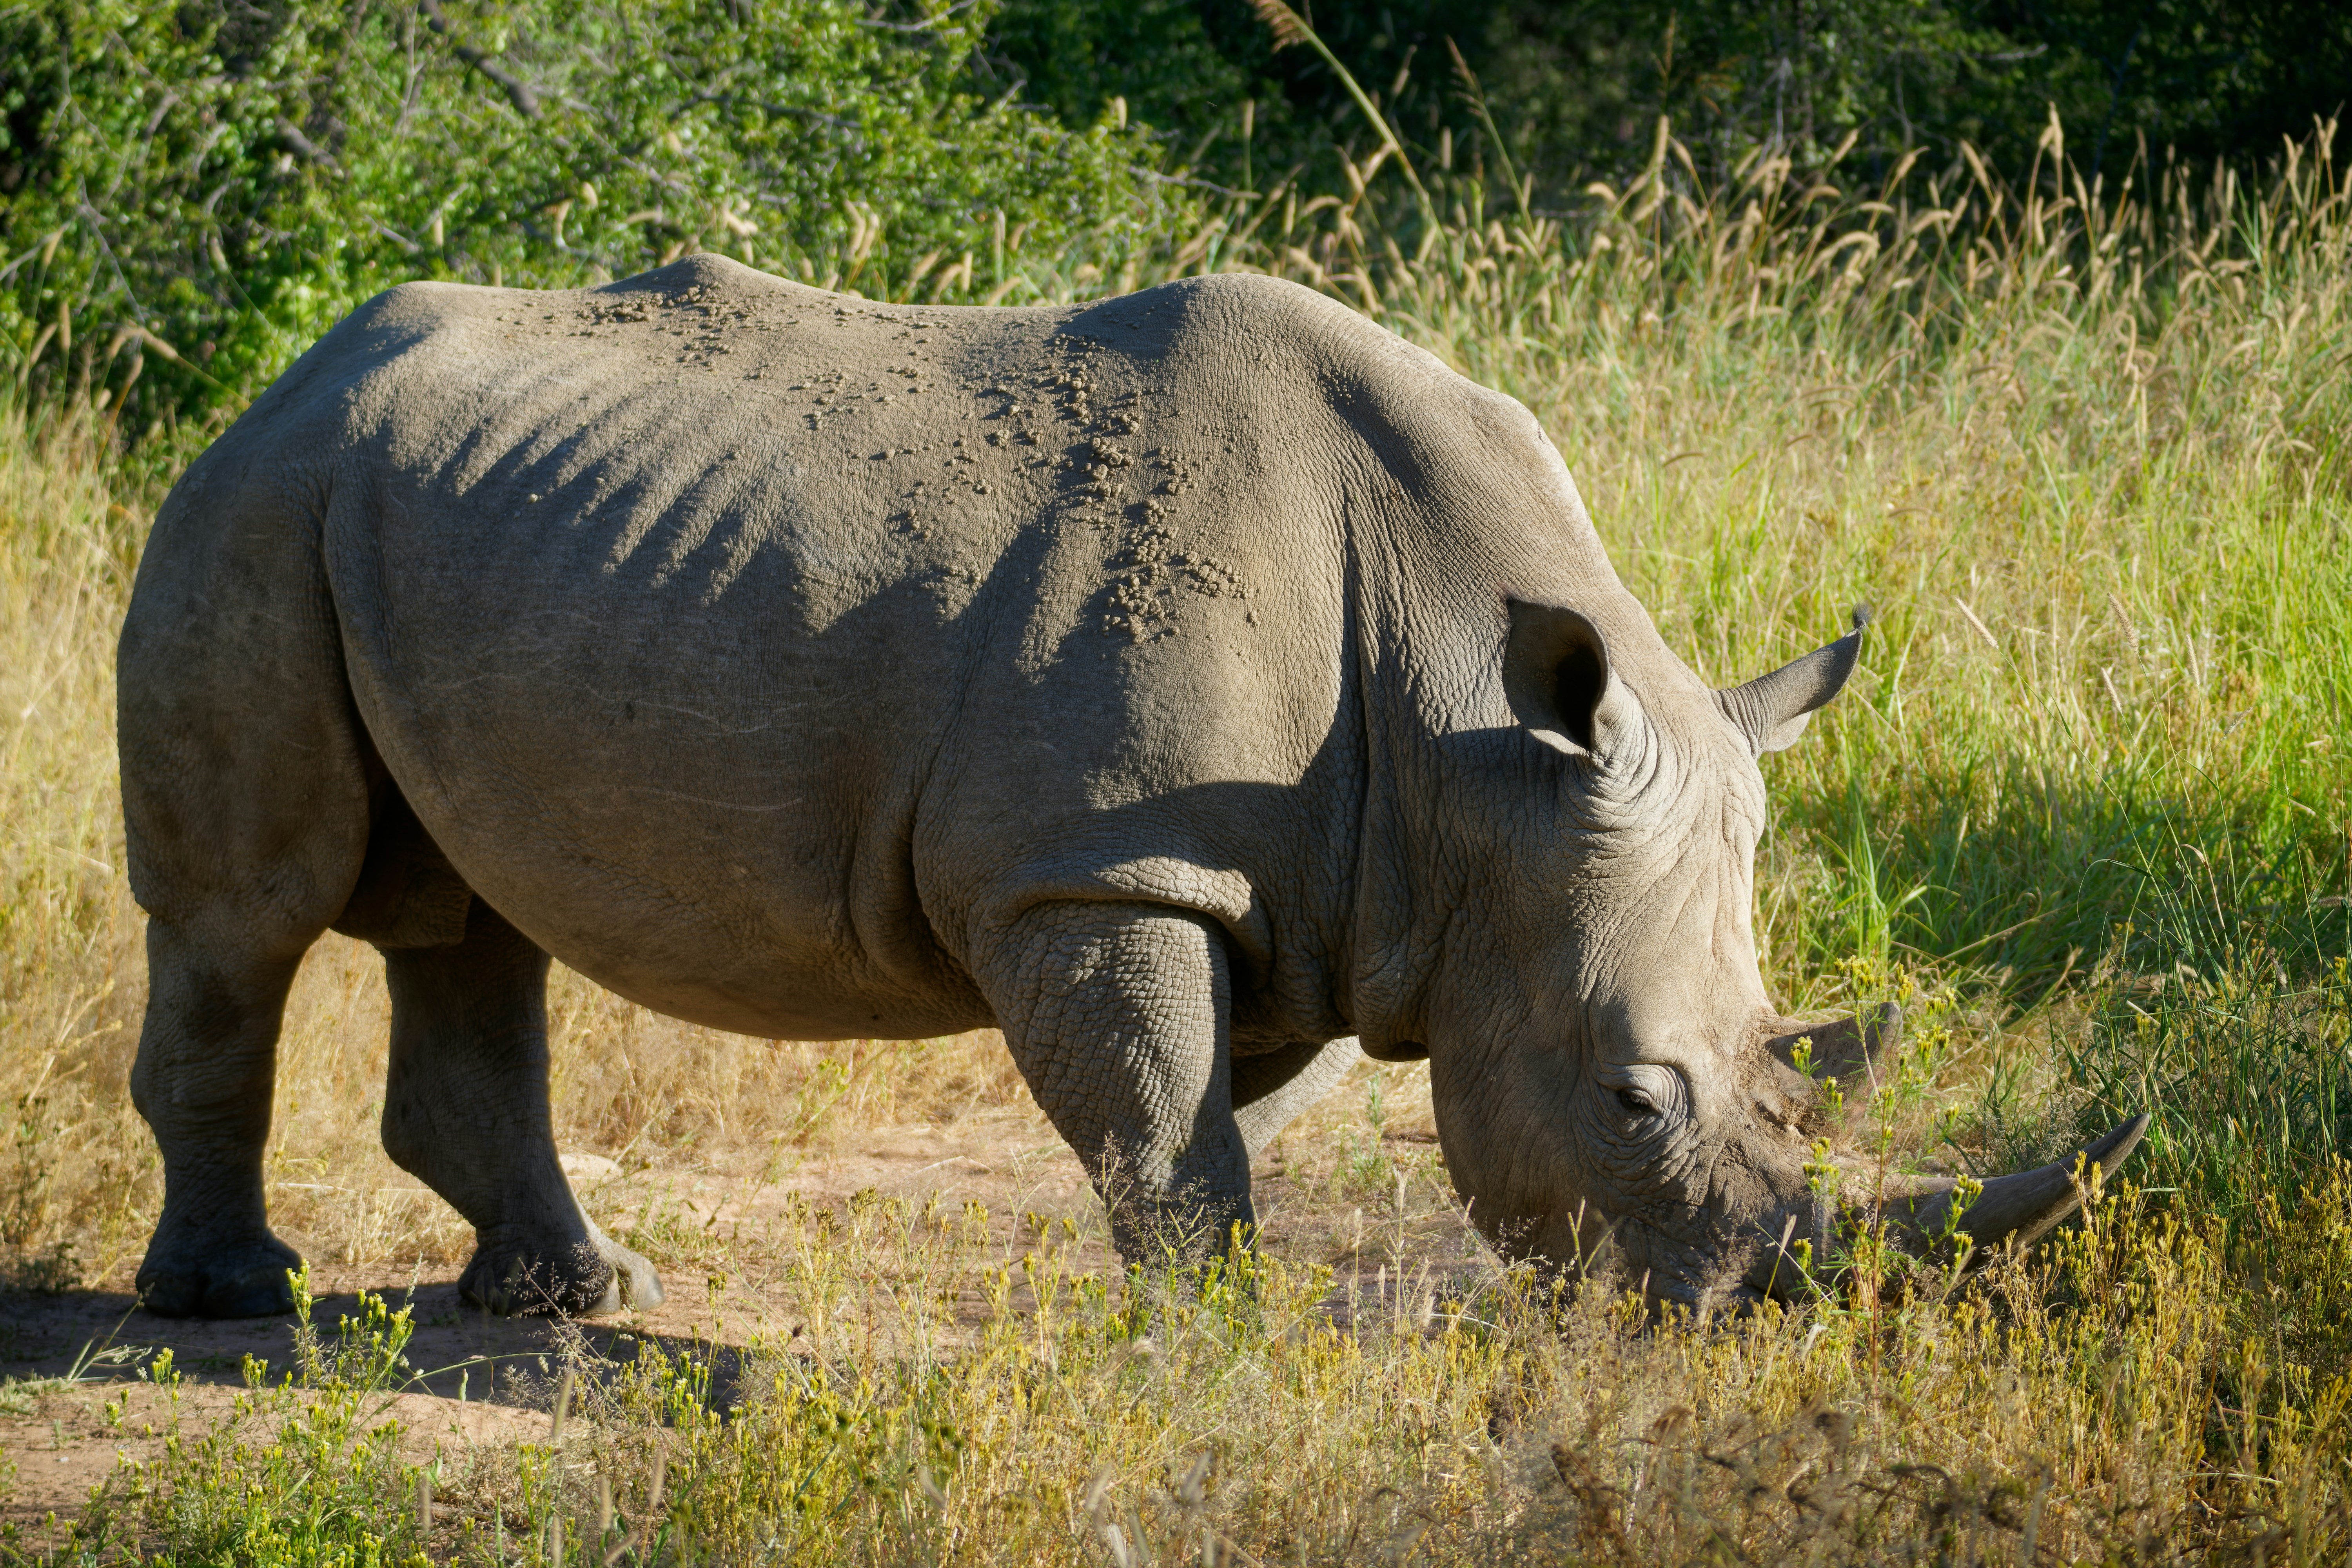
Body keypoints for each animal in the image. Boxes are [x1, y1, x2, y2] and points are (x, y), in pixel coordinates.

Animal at [117, 255, 2144, 1319]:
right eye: (1636, 1102)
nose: (1739, 1326)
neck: (1473, 747)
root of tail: (290, 369)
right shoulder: (1100, 861)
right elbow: (1170, 1125)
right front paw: (1219, 1341)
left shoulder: (1320, 876)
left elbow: (1204, 1110)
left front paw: (1212, 1309)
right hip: (254, 498)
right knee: (247, 916)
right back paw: (236, 1305)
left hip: (430, 509)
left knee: (468, 917)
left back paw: (576, 1298)